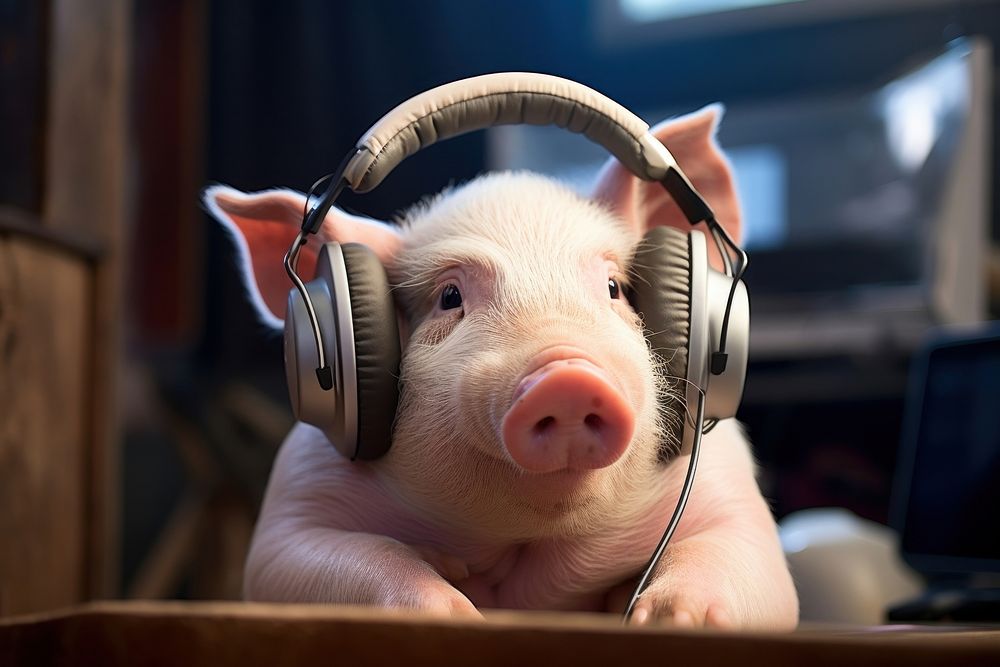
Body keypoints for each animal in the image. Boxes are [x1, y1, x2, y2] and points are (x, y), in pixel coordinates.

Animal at [205, 107, 799, 629]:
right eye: (449, 297)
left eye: (614, 288)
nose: (567, 376)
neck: (525, 545)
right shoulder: (299, 501)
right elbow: (332, 559)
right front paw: (458, 612)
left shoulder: (724, 485)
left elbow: (748, 560)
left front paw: (672, 621)